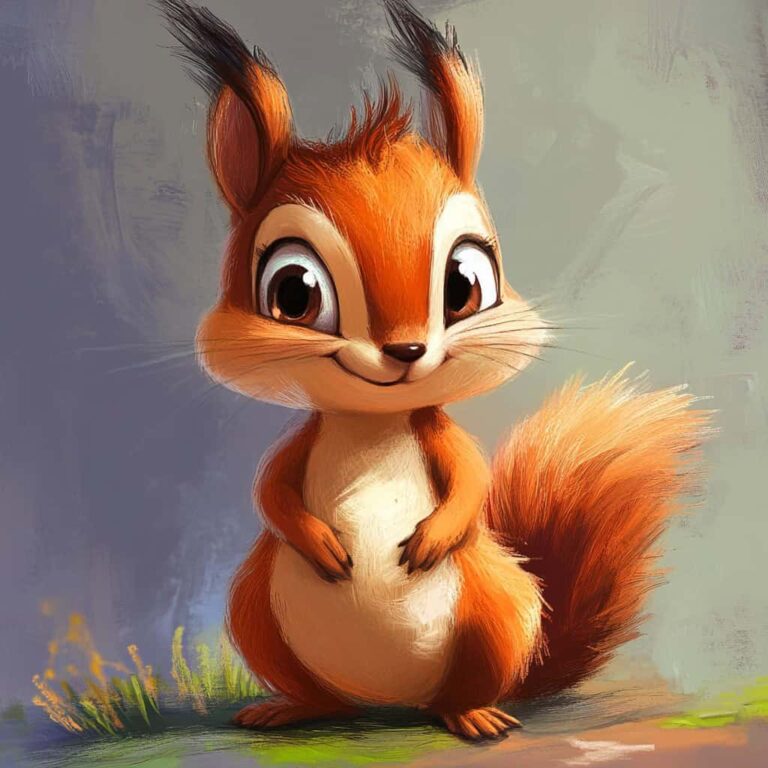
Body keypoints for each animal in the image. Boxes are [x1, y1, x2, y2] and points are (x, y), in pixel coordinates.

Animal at [160, 0, 713, 741]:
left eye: (465, 284)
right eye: (294, 293)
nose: (405, 352)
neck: (371, 427)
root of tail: (386, 700)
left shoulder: (440, 435)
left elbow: (471, 479)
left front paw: (432, 538)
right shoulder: (300, 444)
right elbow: (270, 489)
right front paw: (320, 542)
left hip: (494, 613)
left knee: (464, 687)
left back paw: (475, 714)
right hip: (255, 611)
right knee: (319, 694)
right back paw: (290, 706)